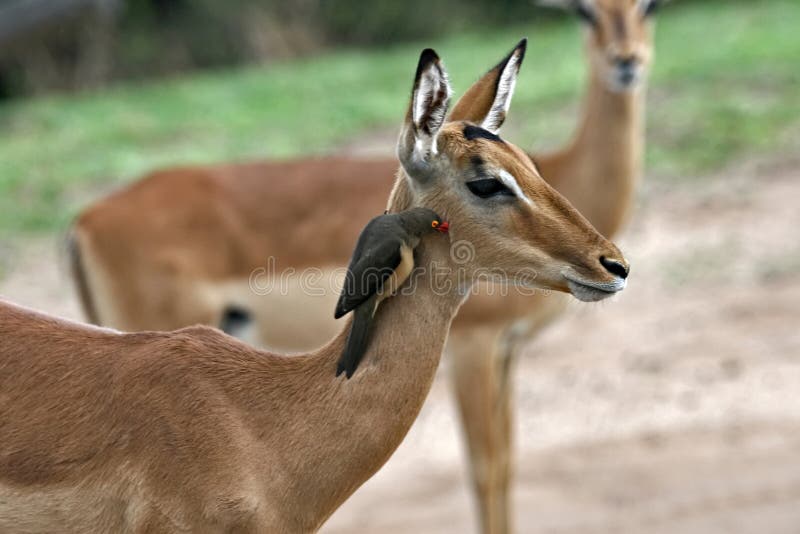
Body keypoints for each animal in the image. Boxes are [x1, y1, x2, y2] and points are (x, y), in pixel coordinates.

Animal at [69, 2, 659, 531]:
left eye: (530, 165)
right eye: (486, 181)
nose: (613, 265)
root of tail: (84, 218)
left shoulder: (506, 352)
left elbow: (507, 463)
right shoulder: (476, 348)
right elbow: (487, 468)